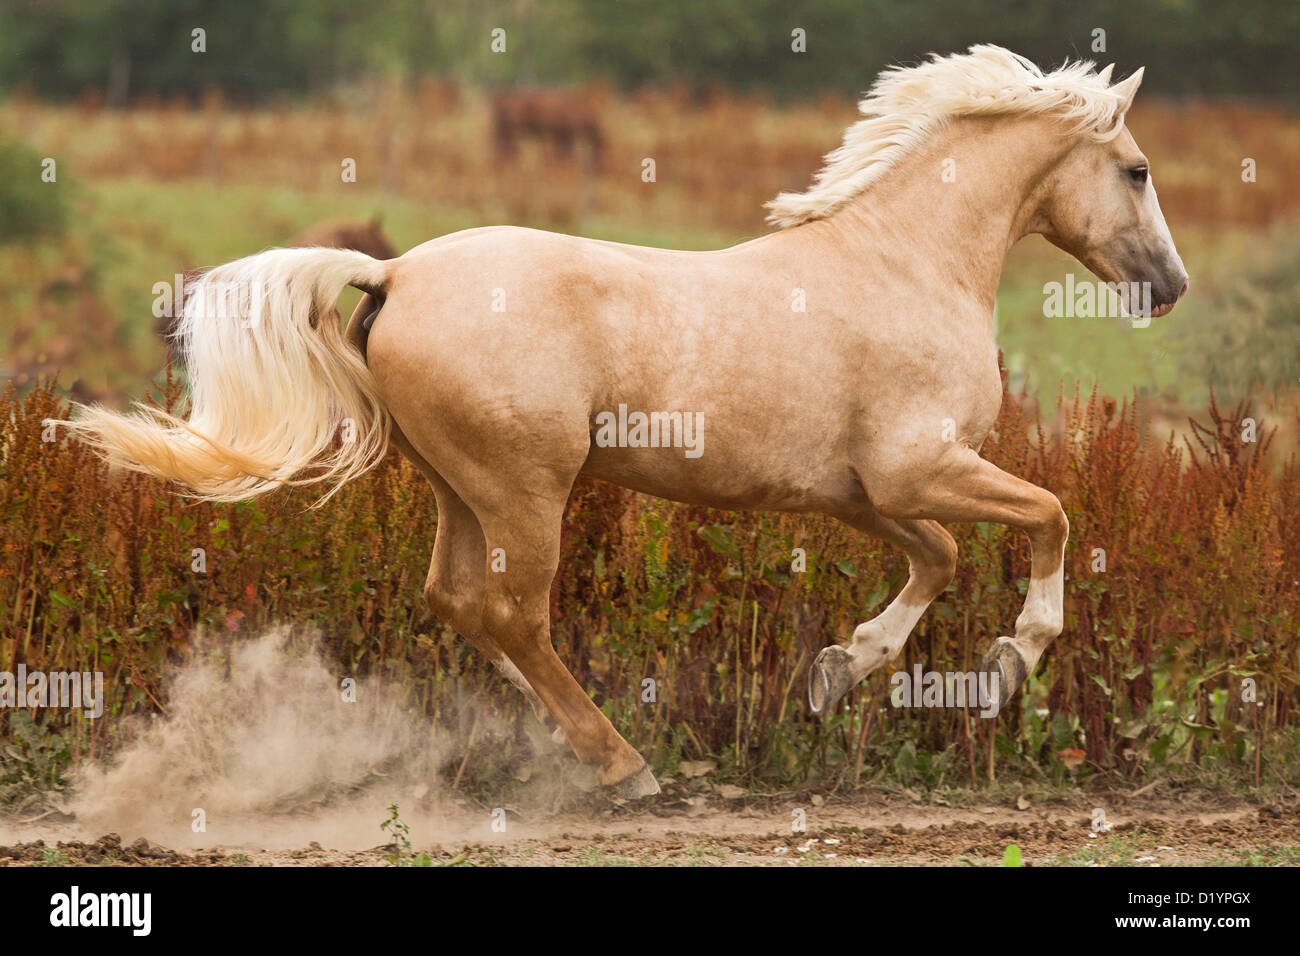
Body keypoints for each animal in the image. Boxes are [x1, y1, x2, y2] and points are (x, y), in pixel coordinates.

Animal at [65, 46, 1187, 799]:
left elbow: (940, 557)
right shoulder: (920, 468)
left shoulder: (863, 491)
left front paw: (836, 672)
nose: (1168, 288)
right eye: (1136, 168)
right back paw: (621, 765)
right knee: (514, 613)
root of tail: (392, 271)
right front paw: (1008, 662)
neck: (904, 262)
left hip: (461, 489)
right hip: (528, 489)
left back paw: (555, 741)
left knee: (460, 602)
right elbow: (1046, 516)